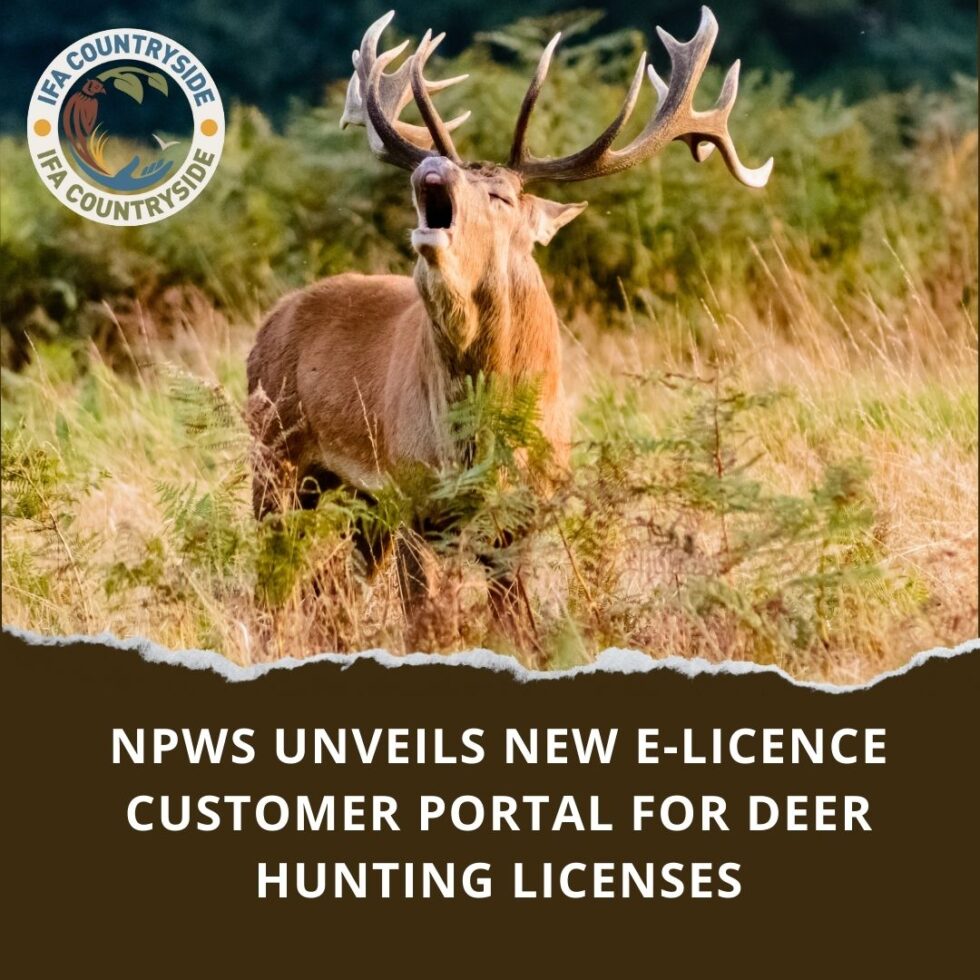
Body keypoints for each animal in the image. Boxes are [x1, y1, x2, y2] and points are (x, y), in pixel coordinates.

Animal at [246, 6, 772, 649]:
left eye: (499, 194)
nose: (431, 166)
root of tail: (270, 321)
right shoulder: (412, 493)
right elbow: (423, 623)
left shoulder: (523, 514)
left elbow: (517, 628)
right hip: (275, 456)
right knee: (275, 583)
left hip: (352, 499)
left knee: (326, 591)